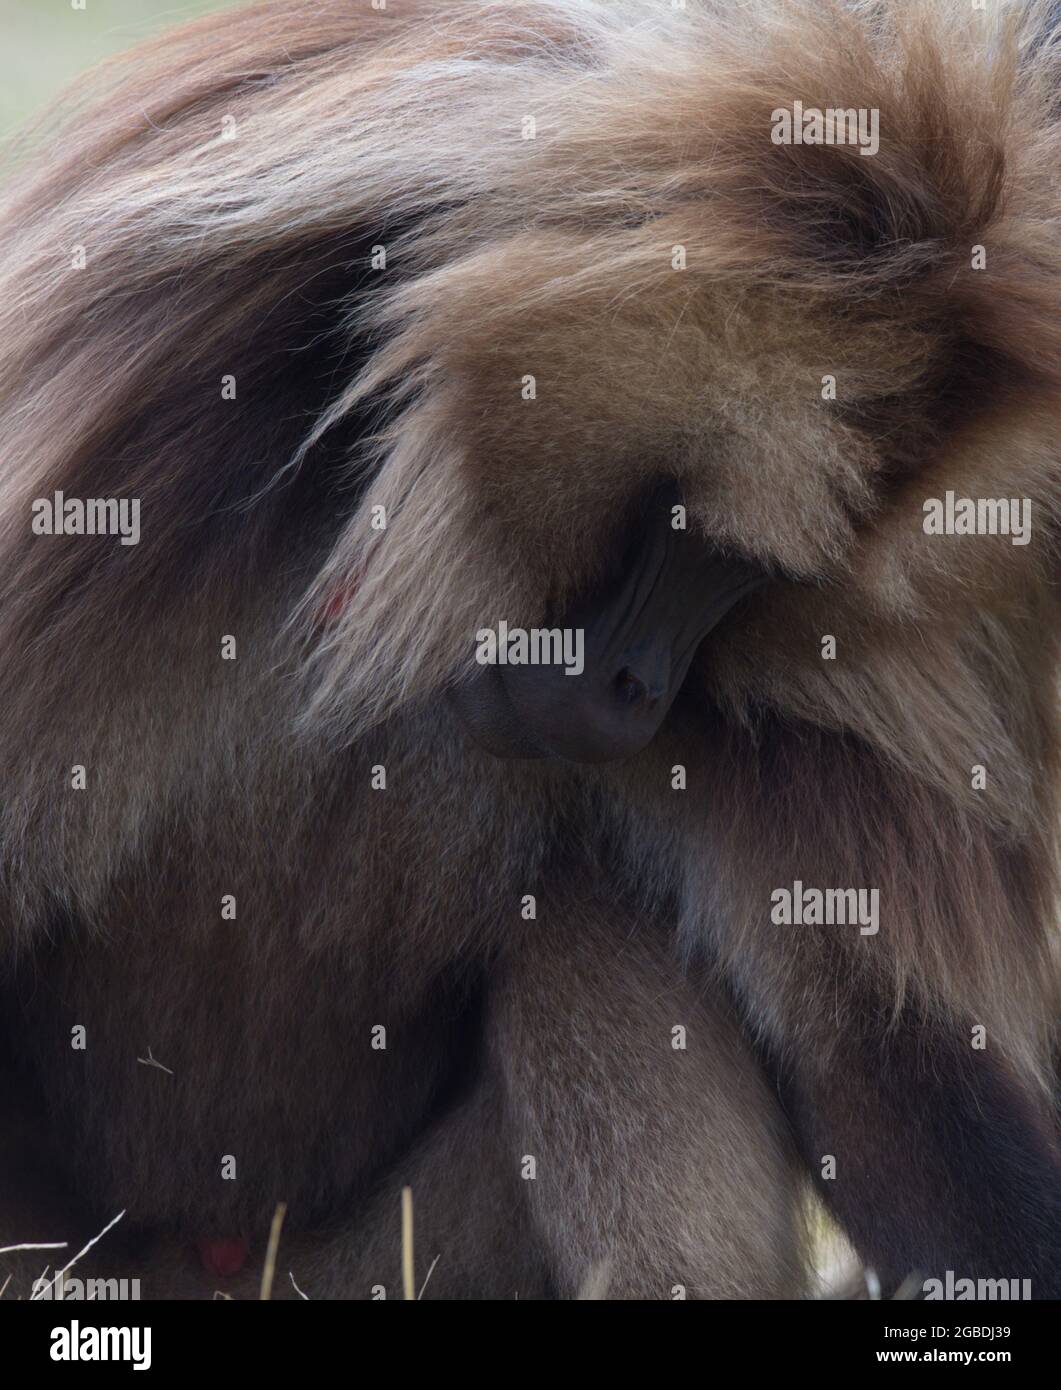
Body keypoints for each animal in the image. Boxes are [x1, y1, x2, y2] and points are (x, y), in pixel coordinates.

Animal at [0, 0, 1060, 1301]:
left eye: (755, 584)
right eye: (692, 540)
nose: (633, 690)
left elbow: (871, 1060)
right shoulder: (126, 473)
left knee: (586, 931)